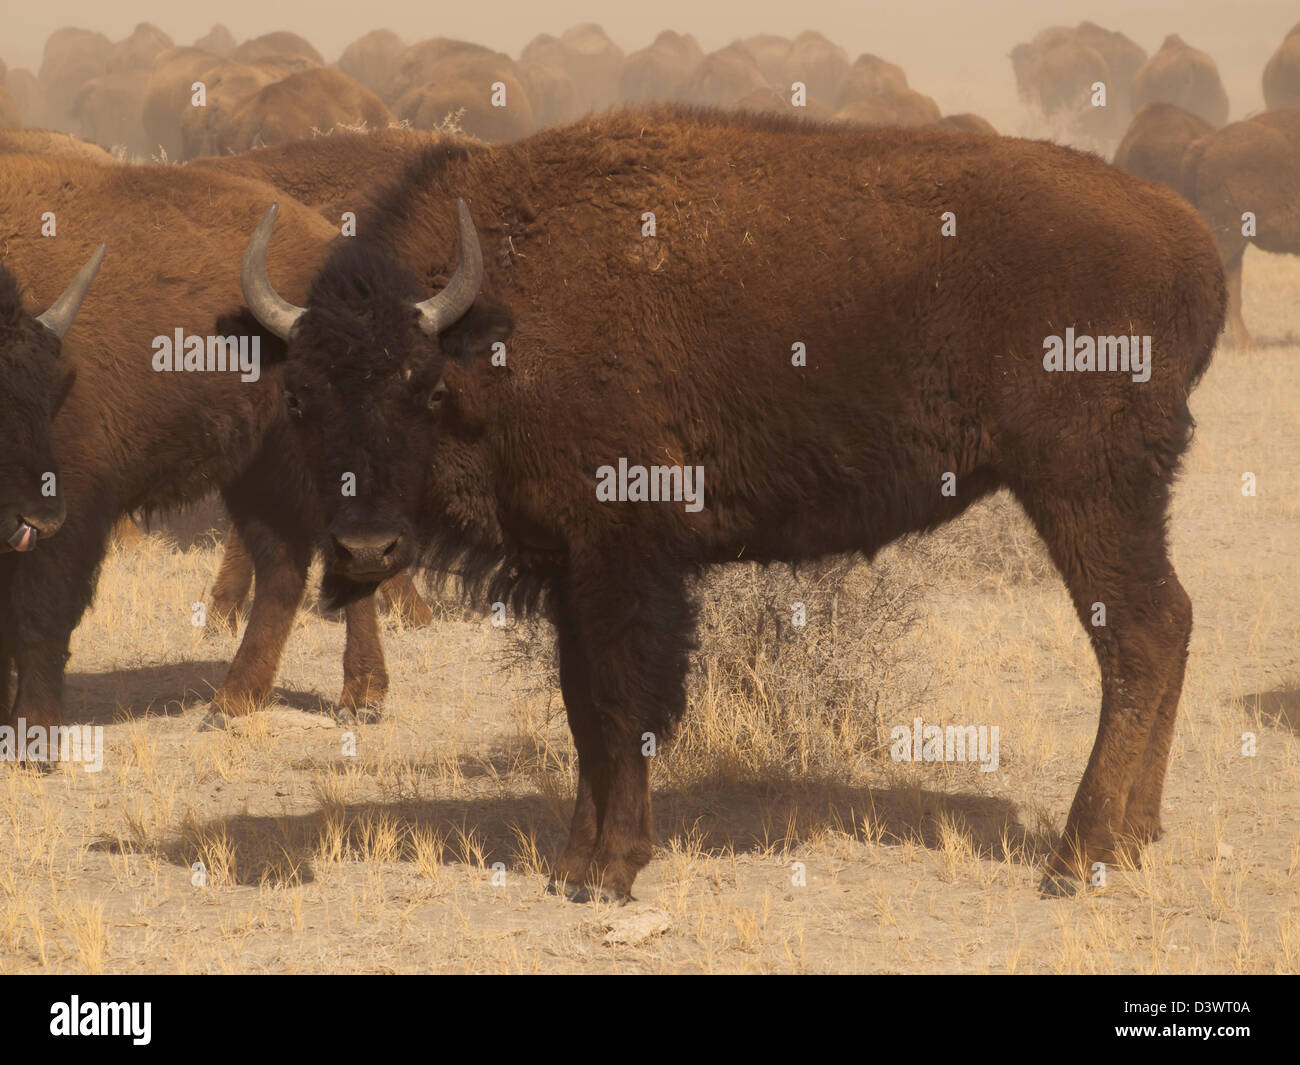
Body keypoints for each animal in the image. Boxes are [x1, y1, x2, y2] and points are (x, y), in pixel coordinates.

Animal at [239, 107, 1225, 900]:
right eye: (302, 398)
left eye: (426, 390)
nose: (365, 549)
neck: (497, 323)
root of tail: (1193, 242)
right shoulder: (570, 570)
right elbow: (582, 707)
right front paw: (571, 864)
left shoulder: (625, 561)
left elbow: (622, 704)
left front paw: (611, 868)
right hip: (1122, 497)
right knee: (1171, 621)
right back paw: (1136, 836)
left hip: (1084, 491)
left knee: (1138, 638)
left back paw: (1076, 857)